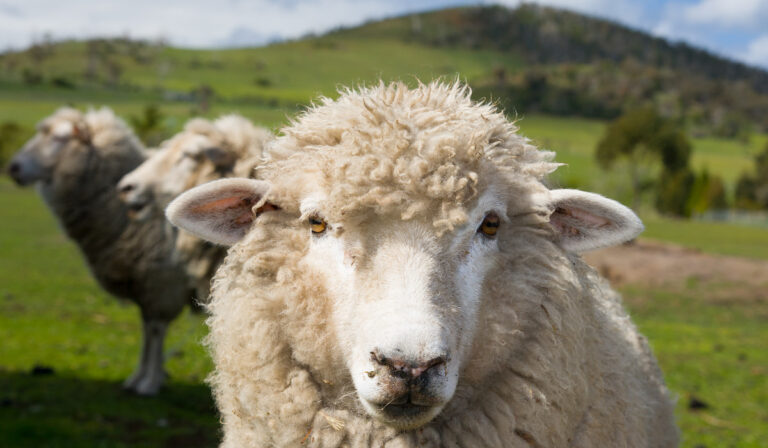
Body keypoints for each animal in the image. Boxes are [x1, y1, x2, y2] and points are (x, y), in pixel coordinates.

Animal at [7, 107, 194, 396]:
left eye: (59, 138)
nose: (13, 167)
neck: (121, 211)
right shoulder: (146, 284)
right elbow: (145, 330)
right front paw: (137, 378)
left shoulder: (162, 282)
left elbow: (155, 330)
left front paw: (149, 383)